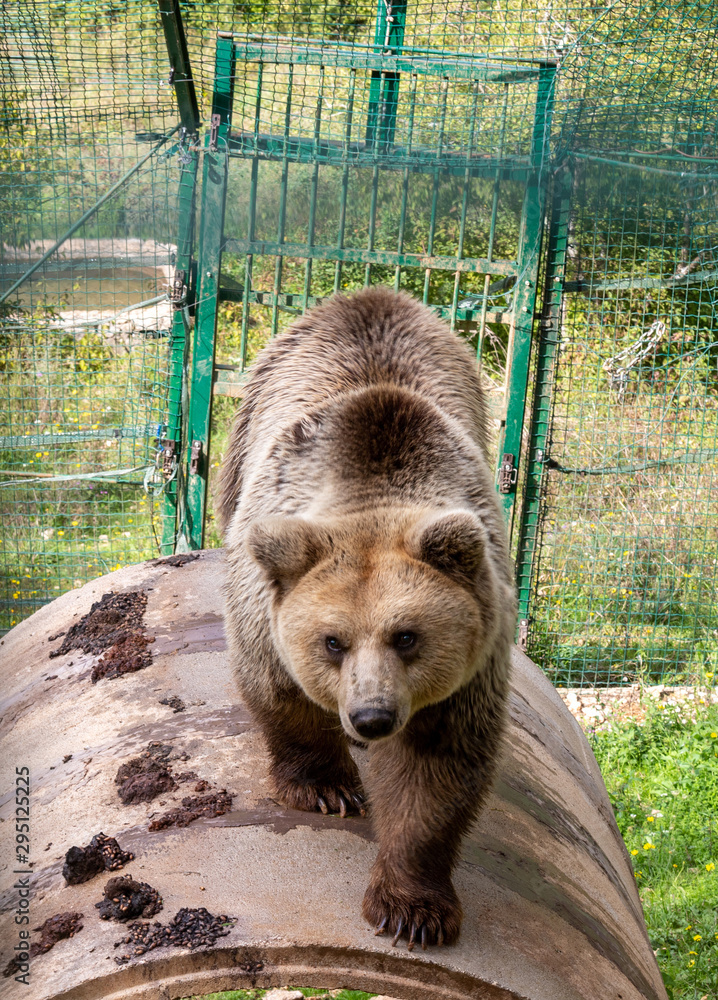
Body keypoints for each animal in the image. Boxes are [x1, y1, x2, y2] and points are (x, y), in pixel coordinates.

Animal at [216, 286, 516, 950]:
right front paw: (327, 788)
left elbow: (436, 770)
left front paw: (413, 910)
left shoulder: (472, 665)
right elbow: (279, 690)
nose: (372, 716)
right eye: (333, 641)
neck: (375, 487)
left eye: (407, 636)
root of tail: (374, 294)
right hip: (249, 420)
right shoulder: (265, 602)